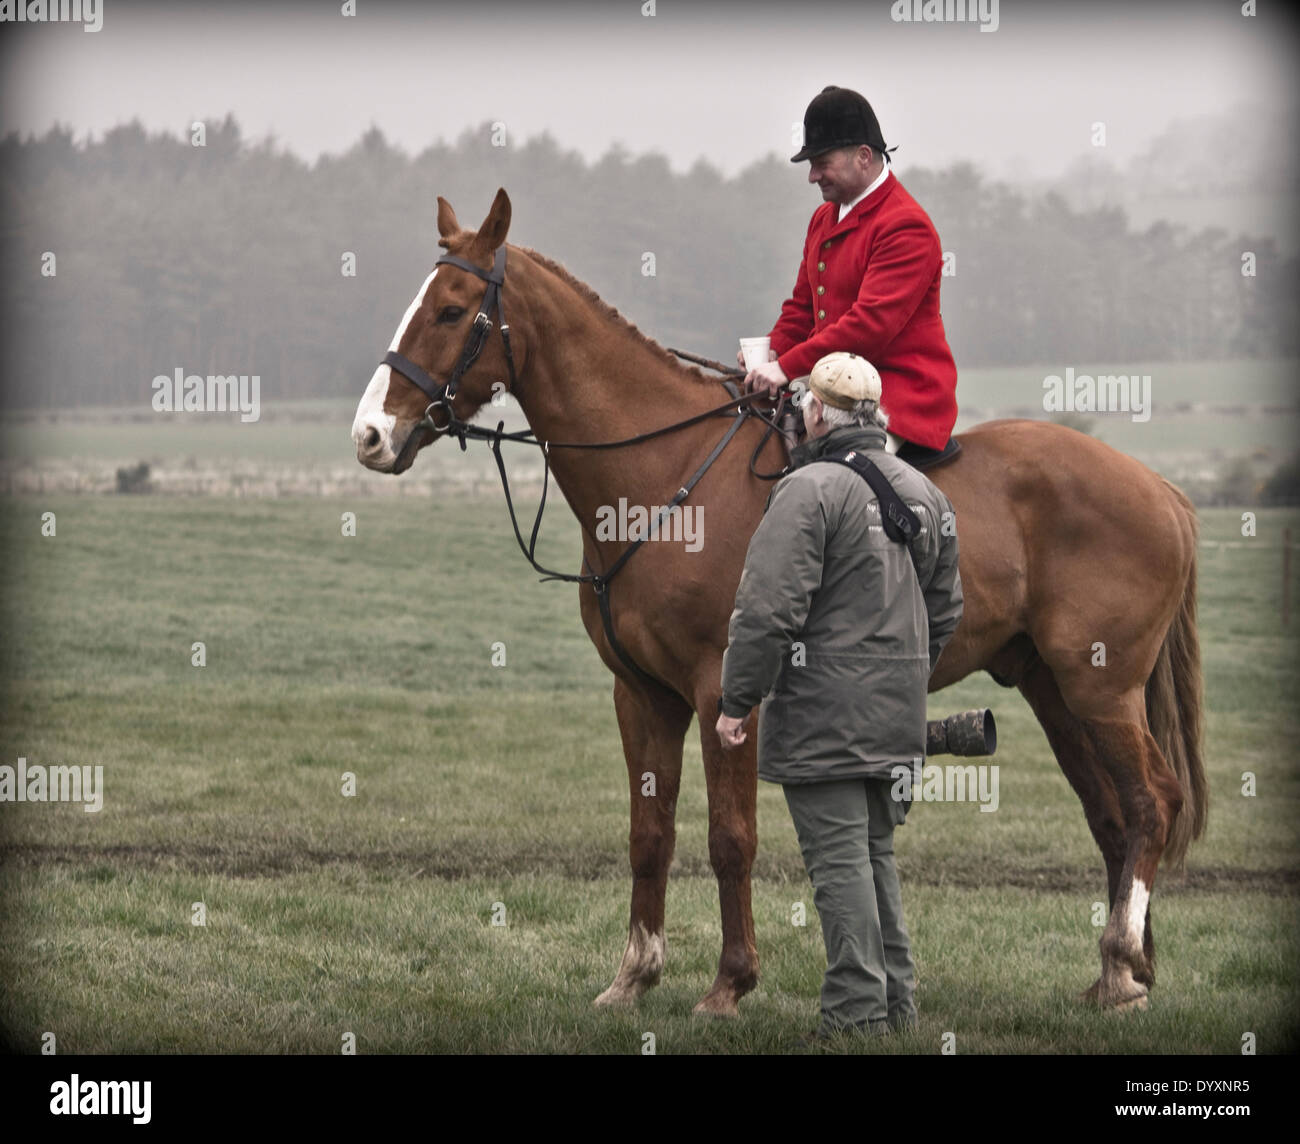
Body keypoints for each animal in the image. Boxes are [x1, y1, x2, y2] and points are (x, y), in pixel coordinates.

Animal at [351, 188, 1206, 1016]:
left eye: (452, 310)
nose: (369, 436)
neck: (666, 478)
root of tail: (1159, 487)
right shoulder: (642, 696)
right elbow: (648, 835)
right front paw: (634, 976)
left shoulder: (722, 691)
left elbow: (730, 838)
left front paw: (729, 984)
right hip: (1054, 690)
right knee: (1112, 817)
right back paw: (1121, 976)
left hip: (1100, 688)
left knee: (1152, 802)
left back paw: (1122, 959)